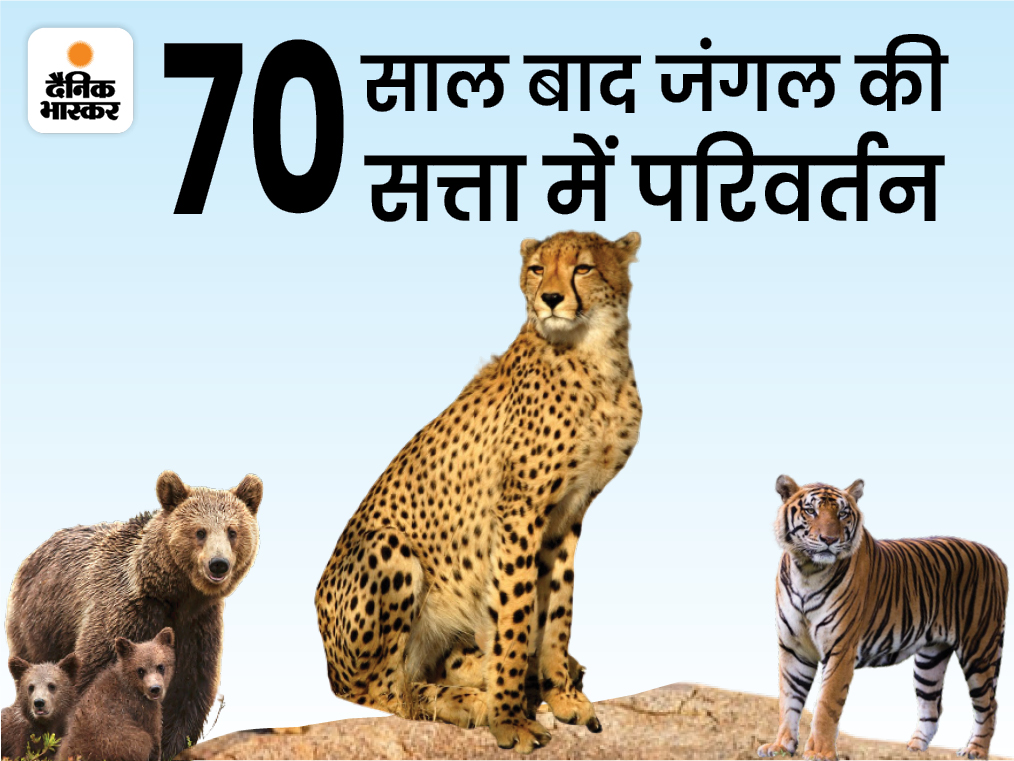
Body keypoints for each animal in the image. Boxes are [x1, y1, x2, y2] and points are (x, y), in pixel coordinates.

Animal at [315, 231, 642, 753]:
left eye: (584, 268)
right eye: (536, 268)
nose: (551, 298)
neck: (594, 355)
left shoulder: (567, 514)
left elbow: (557, 610)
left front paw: (561, 694)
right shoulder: (519, 511)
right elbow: (516, 612)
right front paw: (509, 719)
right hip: (387, 545)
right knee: (385, 693)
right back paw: (468, 700)